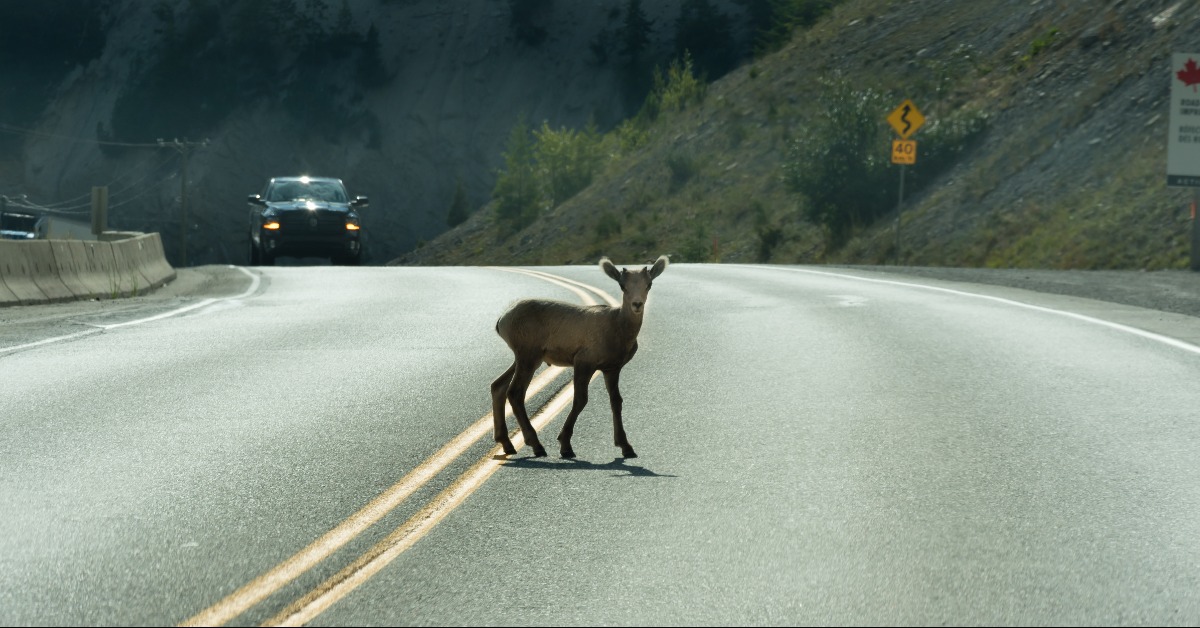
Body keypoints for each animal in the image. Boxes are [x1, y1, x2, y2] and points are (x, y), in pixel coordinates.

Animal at [490, 255, 669, 459]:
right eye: (622, 285)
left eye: (649, 284)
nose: (637, 305)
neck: (617, 328)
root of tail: (502, 320)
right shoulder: (583, 363)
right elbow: (580, 400)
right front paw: (566, 446)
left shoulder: (611, 369)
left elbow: (616, 401)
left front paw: (626, 447)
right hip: (528, 357)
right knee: (515, 392)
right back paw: (537, 446)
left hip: (525, 359)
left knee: (498, 386)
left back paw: (507, 444)